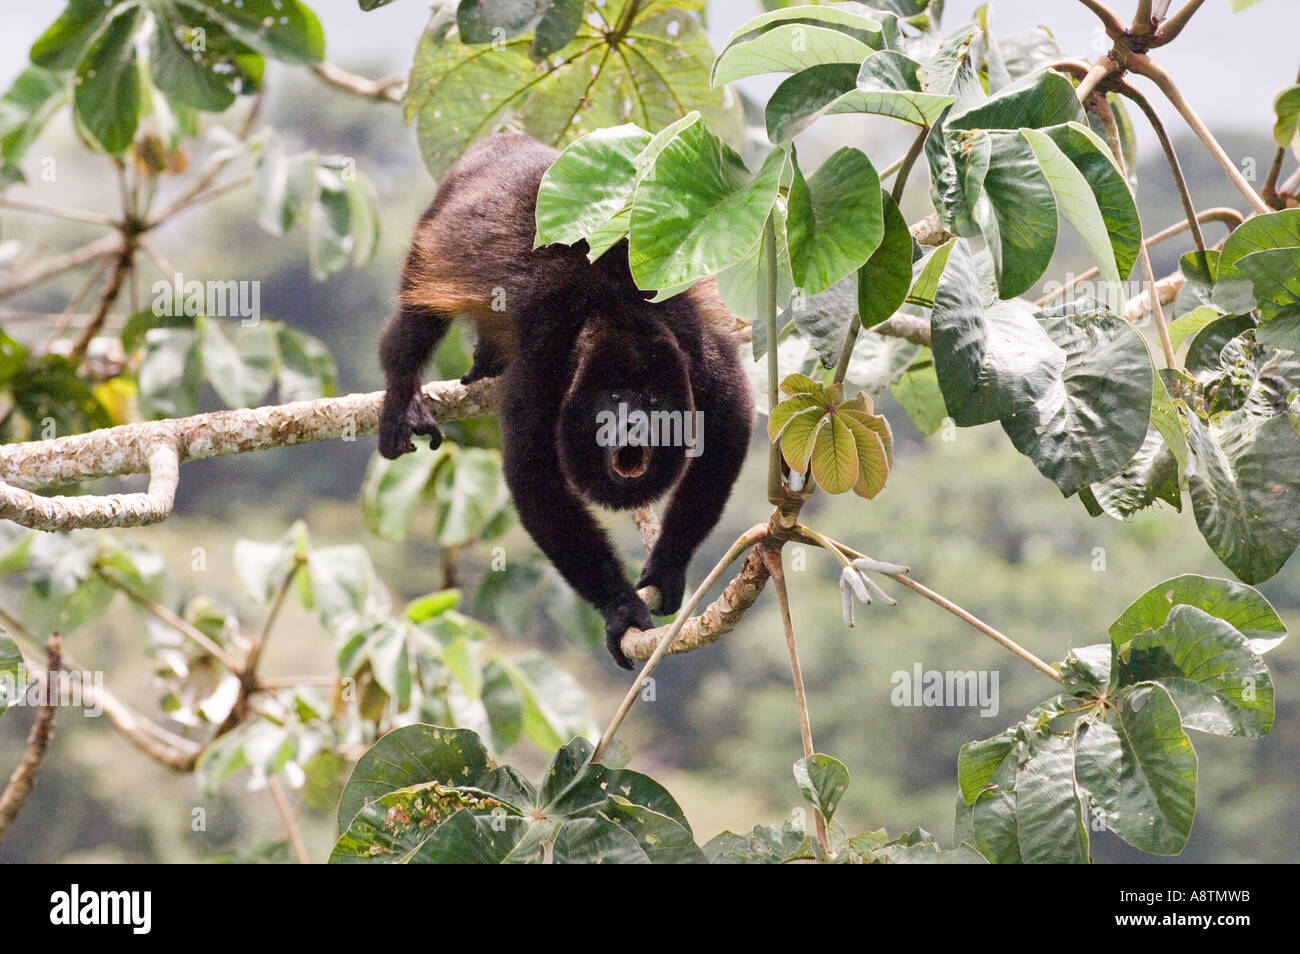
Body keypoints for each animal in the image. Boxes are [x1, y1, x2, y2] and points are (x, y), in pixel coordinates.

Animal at [377, 133, 754, 669]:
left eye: (653, 401)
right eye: (613, 398)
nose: (633, 426)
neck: (613, 313)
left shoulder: (691, 347)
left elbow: (730, 423)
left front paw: (667, 568)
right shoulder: (544, 359)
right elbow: (534, 475)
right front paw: (620, 608)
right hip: (434, 225)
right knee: (416, 317)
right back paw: (401, 399)